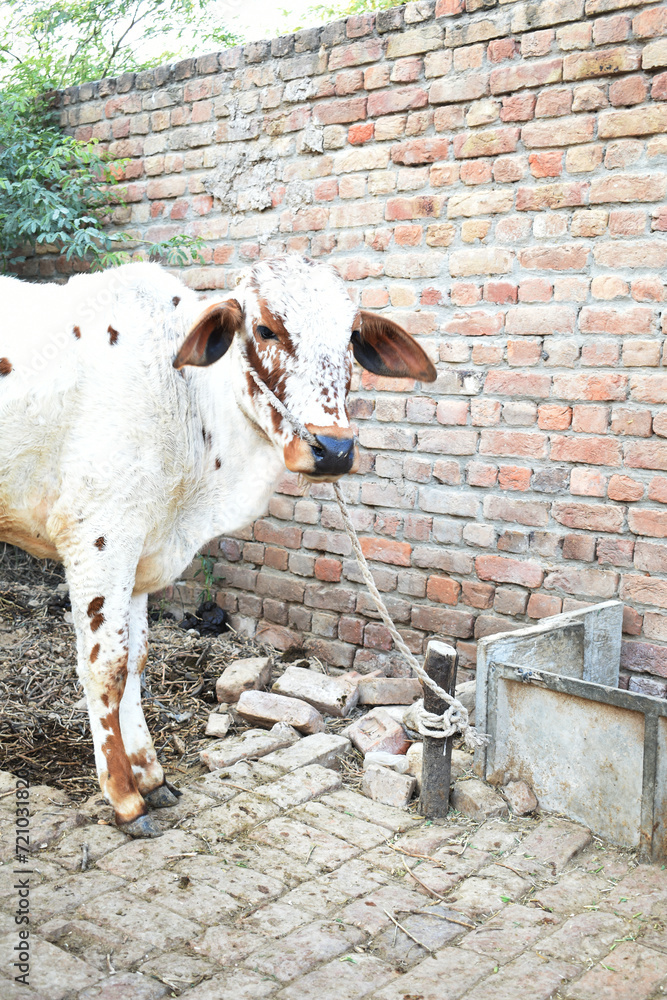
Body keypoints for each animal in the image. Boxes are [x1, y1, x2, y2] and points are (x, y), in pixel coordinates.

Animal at [0, 254, 436, 837]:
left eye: (350, 337)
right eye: (265, 329)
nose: (334, 449)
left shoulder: (144, 549)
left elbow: (136, 660)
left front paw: (151, 778)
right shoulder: (99, 536)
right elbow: (107, 666)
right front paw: (124, 798)